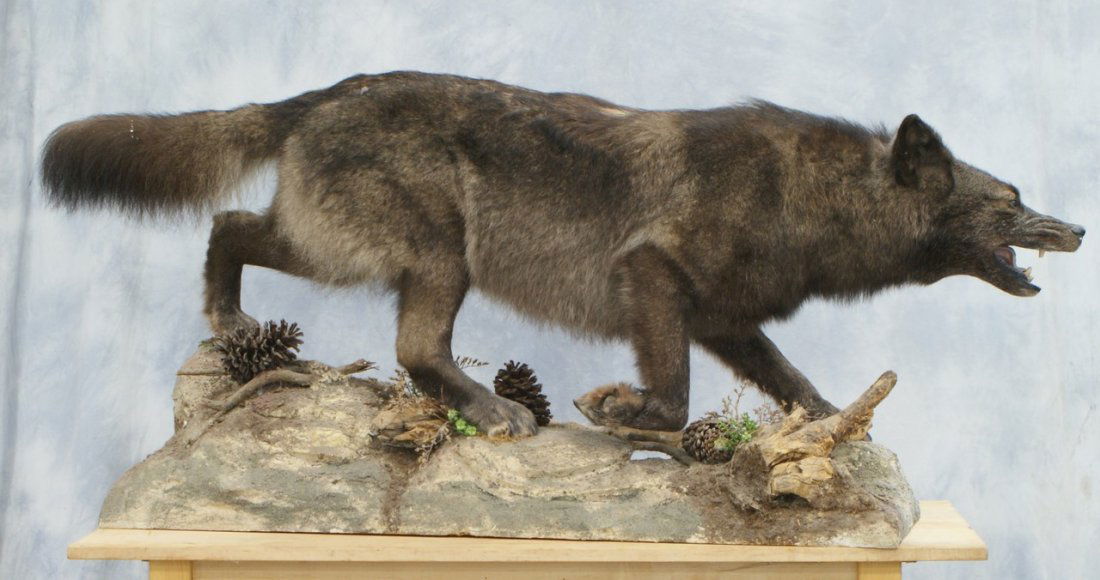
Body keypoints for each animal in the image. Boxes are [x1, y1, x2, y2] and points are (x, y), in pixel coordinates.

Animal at [41, 71, 1084, 437]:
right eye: (1012, 201)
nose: (1077, 230)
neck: (813, 197)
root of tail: (326, 92)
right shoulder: (653, 281)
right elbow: (678, 397)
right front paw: (627, 414)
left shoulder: (725, 322)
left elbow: (794, 384)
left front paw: (837, 430)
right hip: (428, 259)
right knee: (414, 351)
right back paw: (492, 408)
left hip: (344, 249)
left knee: (228, 225)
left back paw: (230, 323)